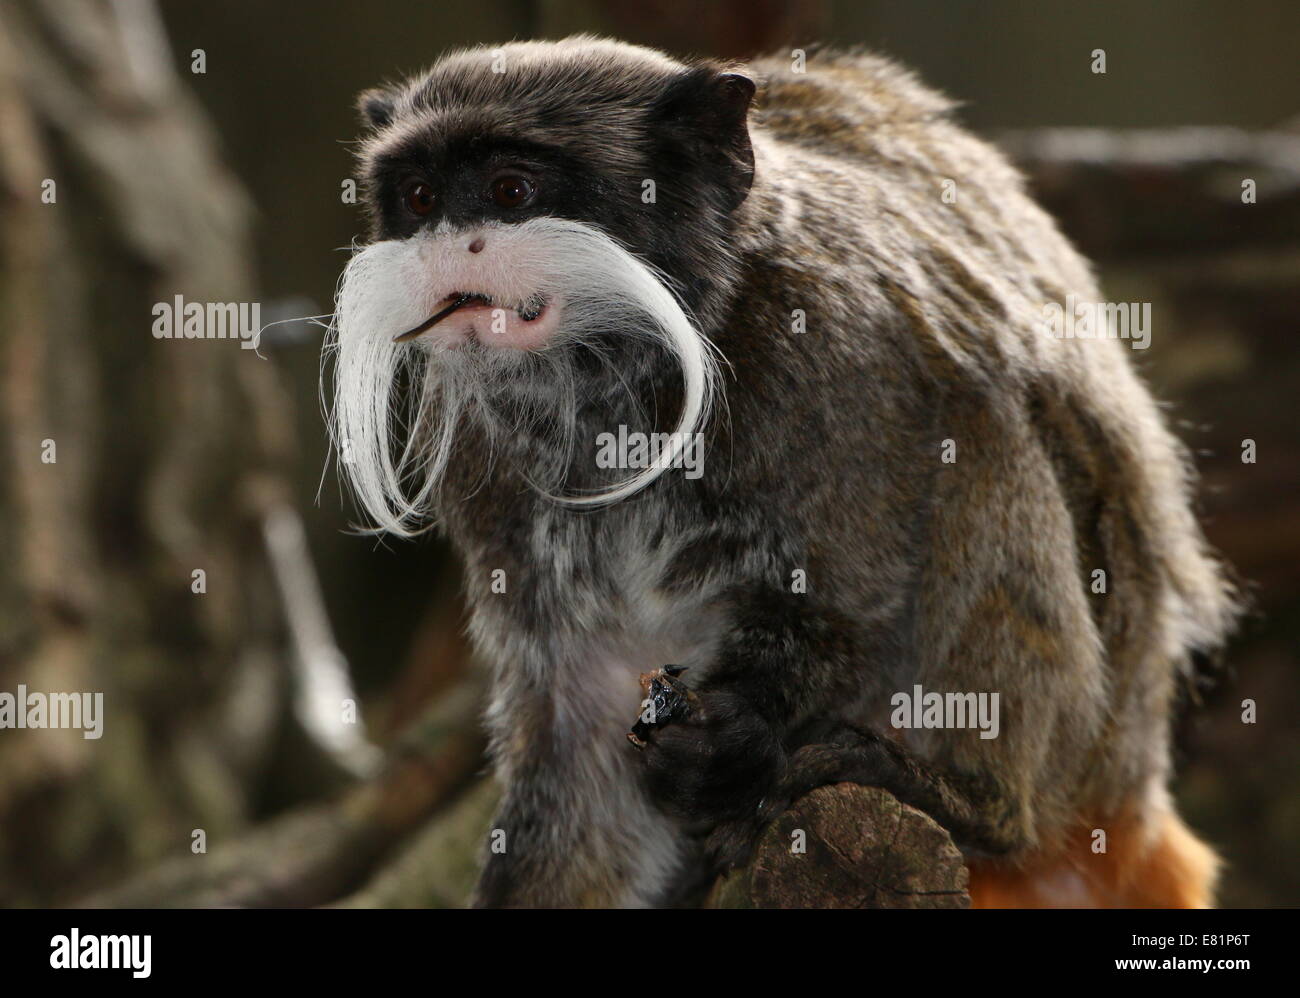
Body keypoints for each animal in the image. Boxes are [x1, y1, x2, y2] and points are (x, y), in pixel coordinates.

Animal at [326, 36, 1238, 908]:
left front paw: (737, 739)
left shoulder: (841, 341)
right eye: (420, 200)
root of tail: (1135, 778)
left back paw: (973, 807)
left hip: (1093, 739)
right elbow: (578, 724)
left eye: (510, 192)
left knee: (986, 421)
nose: (449, 250)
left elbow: (848, 607)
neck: (621, 378)